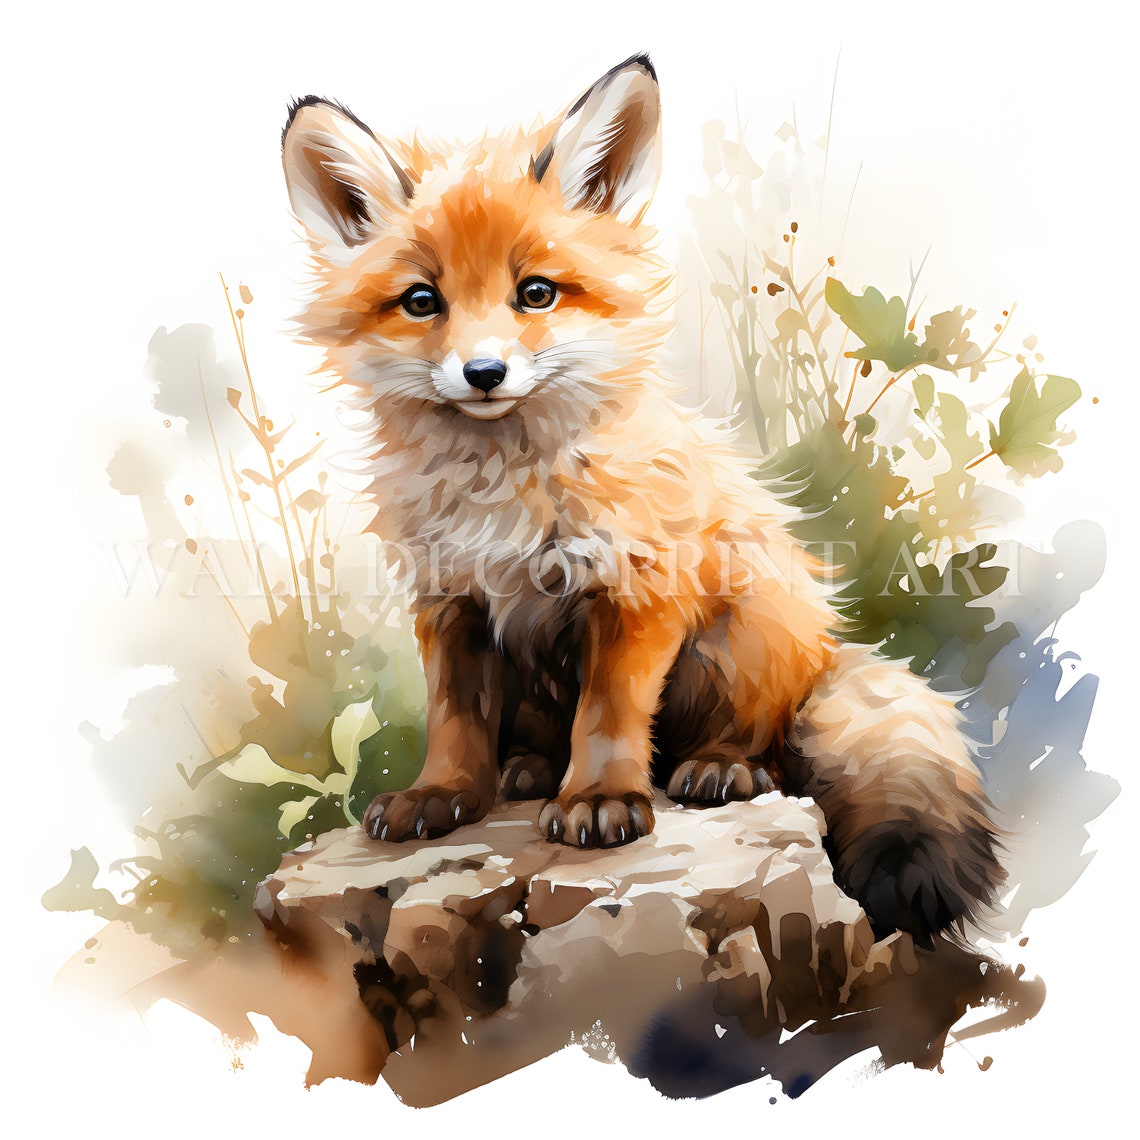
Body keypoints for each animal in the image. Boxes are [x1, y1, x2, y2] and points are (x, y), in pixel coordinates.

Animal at [280, 54, 1004, 943]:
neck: (504, 491)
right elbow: (454, 721)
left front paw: (598, 799)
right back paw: (526, 771)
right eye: (422, 301)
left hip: (749, 635)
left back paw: (719, 766)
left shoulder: (636, 586)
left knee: (766, 744)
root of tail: (829, 651)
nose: (483, 373)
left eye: (537, 293)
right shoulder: (450, 601)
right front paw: (443, 793)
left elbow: (608, 715)